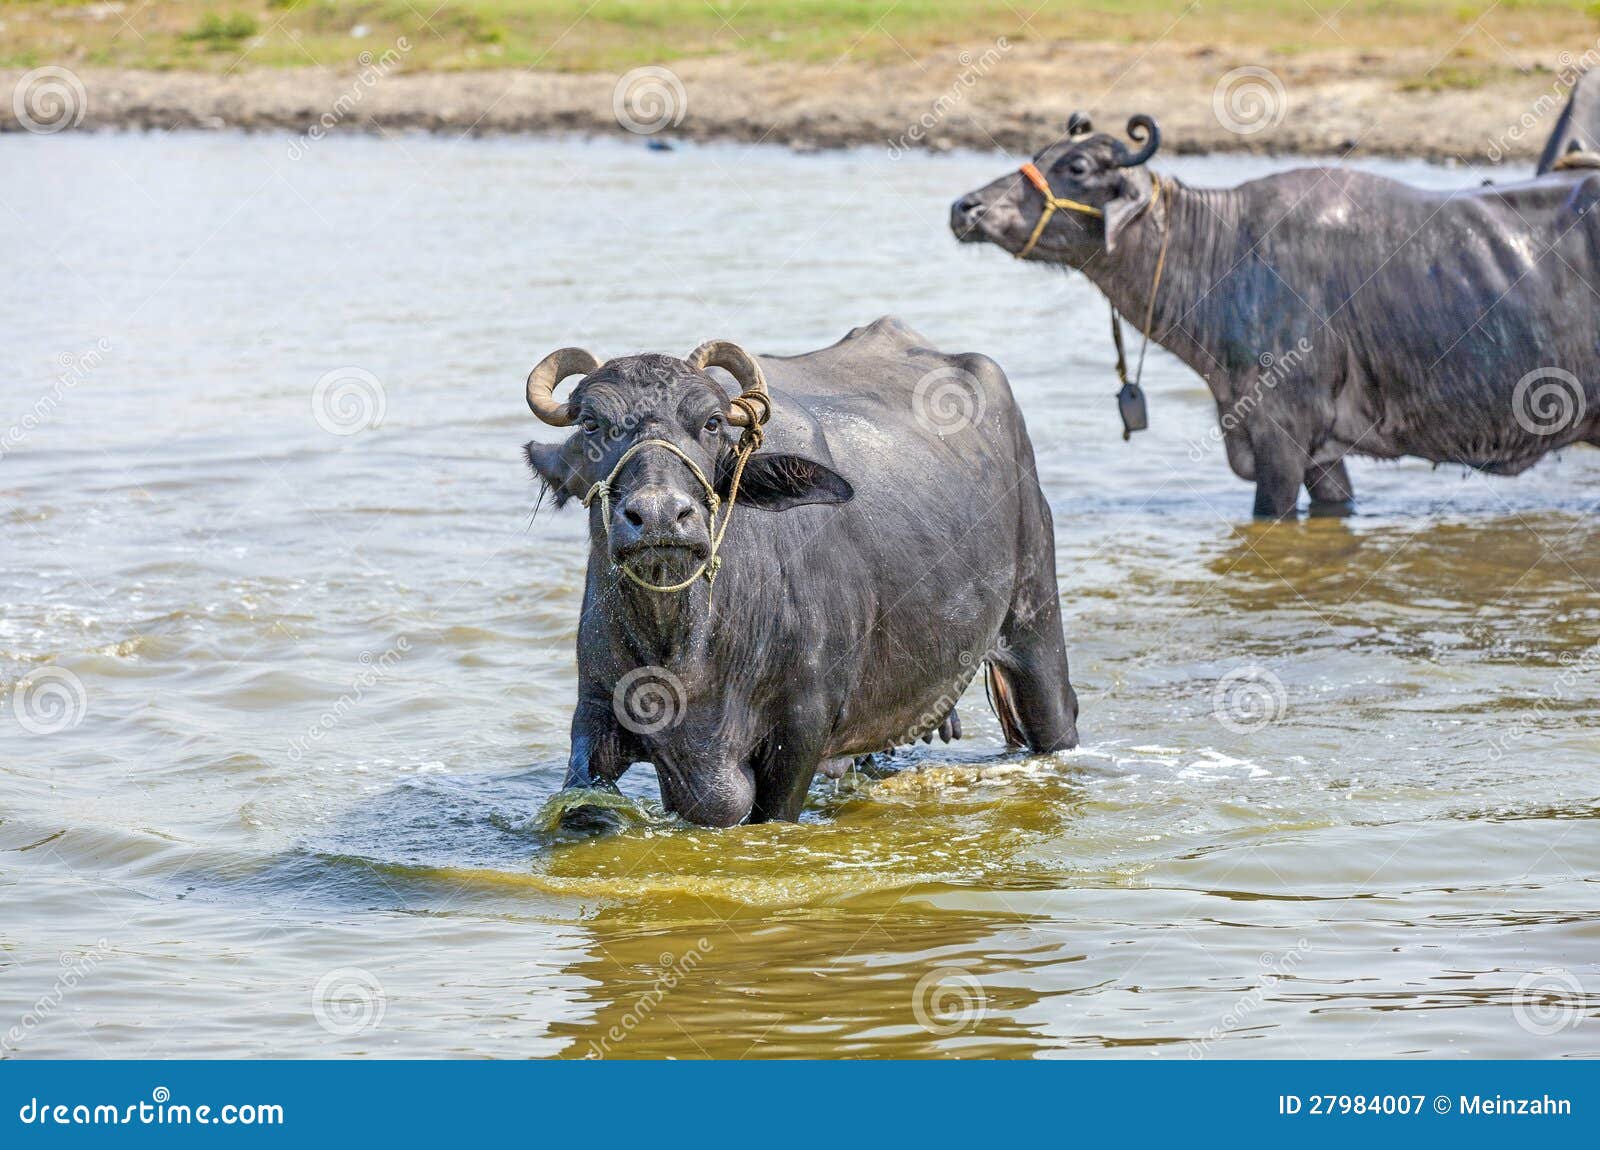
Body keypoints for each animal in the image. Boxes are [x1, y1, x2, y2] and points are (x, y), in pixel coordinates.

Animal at [523, 317, 1079, 827]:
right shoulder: (595, 713)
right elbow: (582, 805)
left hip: (1035, 626)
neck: (683, 646)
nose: (660, 514)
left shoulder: (801, 733)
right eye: (592, 425)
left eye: (710, 423)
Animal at [952, 114, 1600, 517]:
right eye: (1042, 155)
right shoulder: (1323, 453)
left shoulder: (1280, 436)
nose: (966, 207)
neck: (1222, 248)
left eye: (1078, 167)